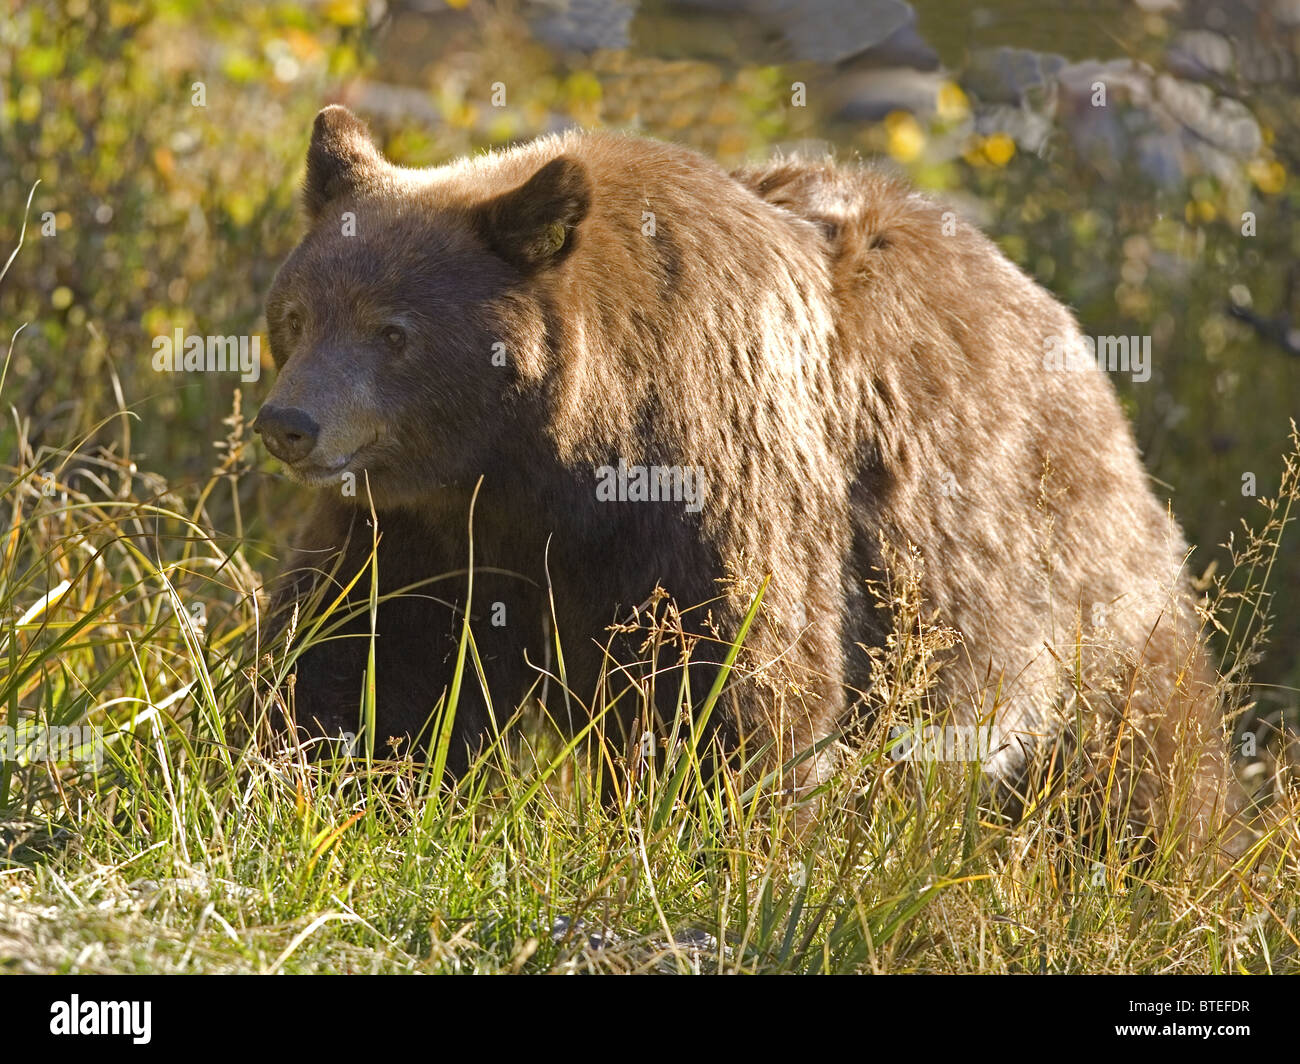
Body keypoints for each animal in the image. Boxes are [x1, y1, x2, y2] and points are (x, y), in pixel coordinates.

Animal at [255, 105, 1243, 847]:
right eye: (296, 314)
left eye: (393, 331)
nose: (288, 424)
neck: (544, 468)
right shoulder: (423, 527)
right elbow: (367, 662)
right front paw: (323, 788)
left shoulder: (717, 480)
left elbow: (736, 689)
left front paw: (709, 835)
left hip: (1075, 600)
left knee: (1137, 769)